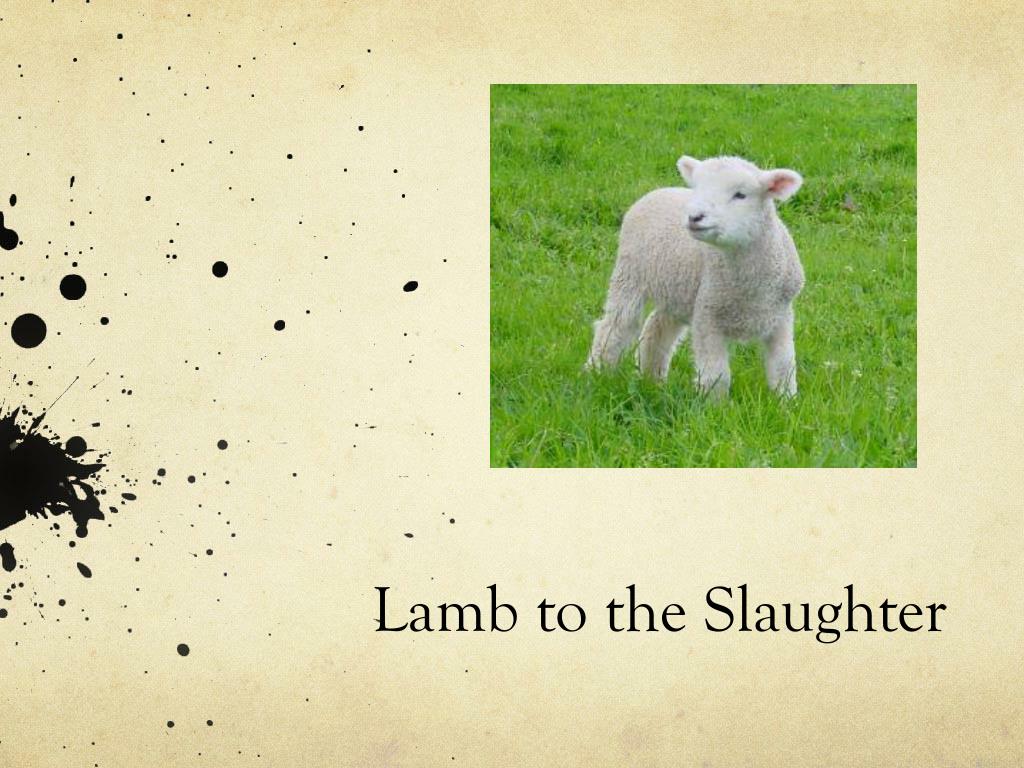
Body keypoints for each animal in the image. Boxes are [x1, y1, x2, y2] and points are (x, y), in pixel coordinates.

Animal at [585, 154, 805, 399]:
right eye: (697, 188)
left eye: (740, 195)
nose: (695, 217)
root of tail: (658, 191)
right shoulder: (708, 316)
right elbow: (716, 375)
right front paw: (715, 406)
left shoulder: (781, 316)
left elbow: (783, 367)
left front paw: (785, 402)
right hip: (629, 274)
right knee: (615, 325)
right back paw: (597, 372)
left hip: (677, 291)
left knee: (657, 327)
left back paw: (651, 379)